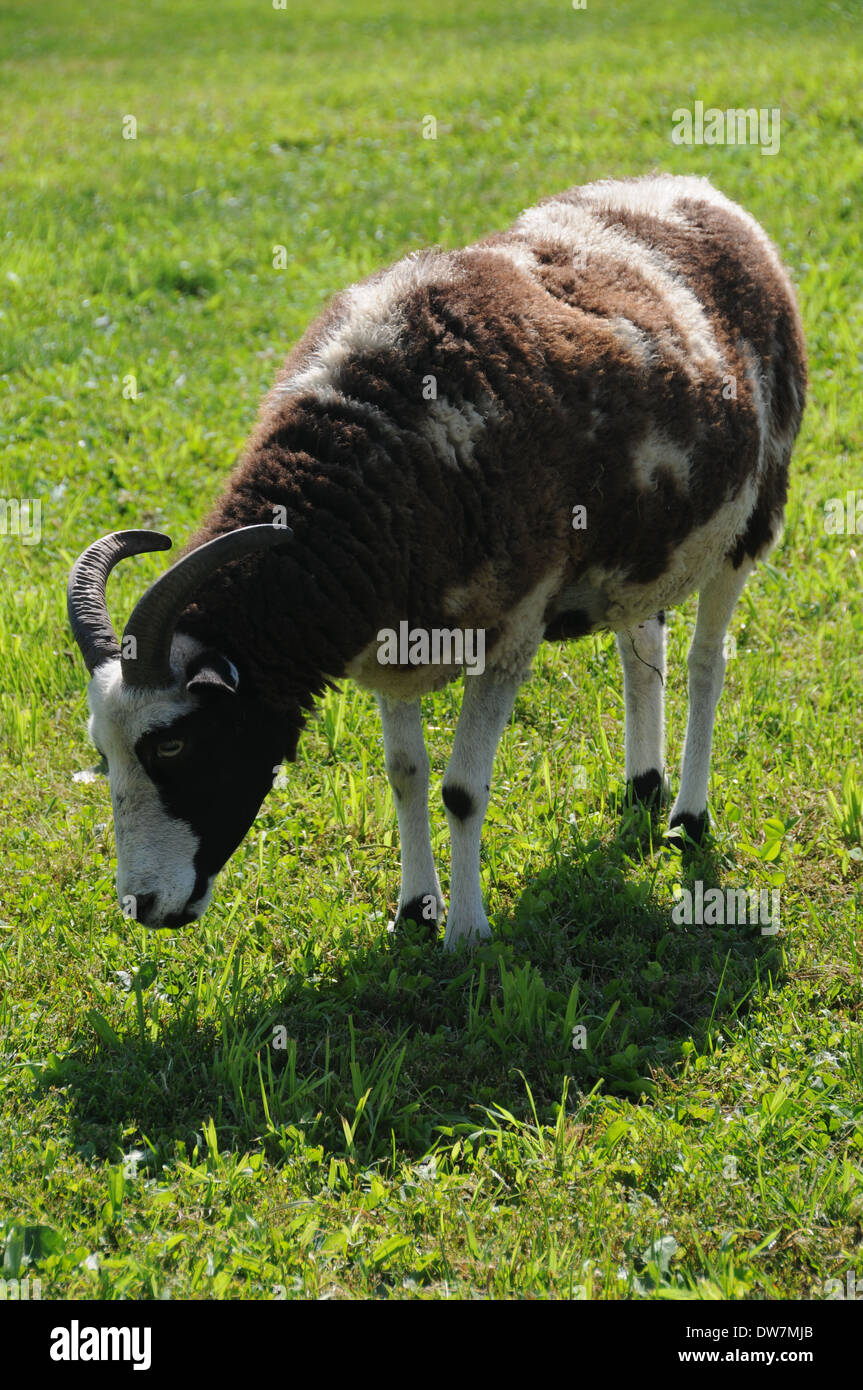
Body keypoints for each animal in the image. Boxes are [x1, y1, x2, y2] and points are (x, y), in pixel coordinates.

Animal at [68, 172, 806, 947]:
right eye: (102, 753)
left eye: (172, 748)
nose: (142, 906)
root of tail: (696, 189)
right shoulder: (390, 648)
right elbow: (405, 773)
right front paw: (415, 910)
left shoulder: (513, 630)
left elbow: (460, 791)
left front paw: (468, 936)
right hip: (643, 550)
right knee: (643, 648)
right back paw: (643, 788)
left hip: (753, 516)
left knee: (704, 665)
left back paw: (686, 819)